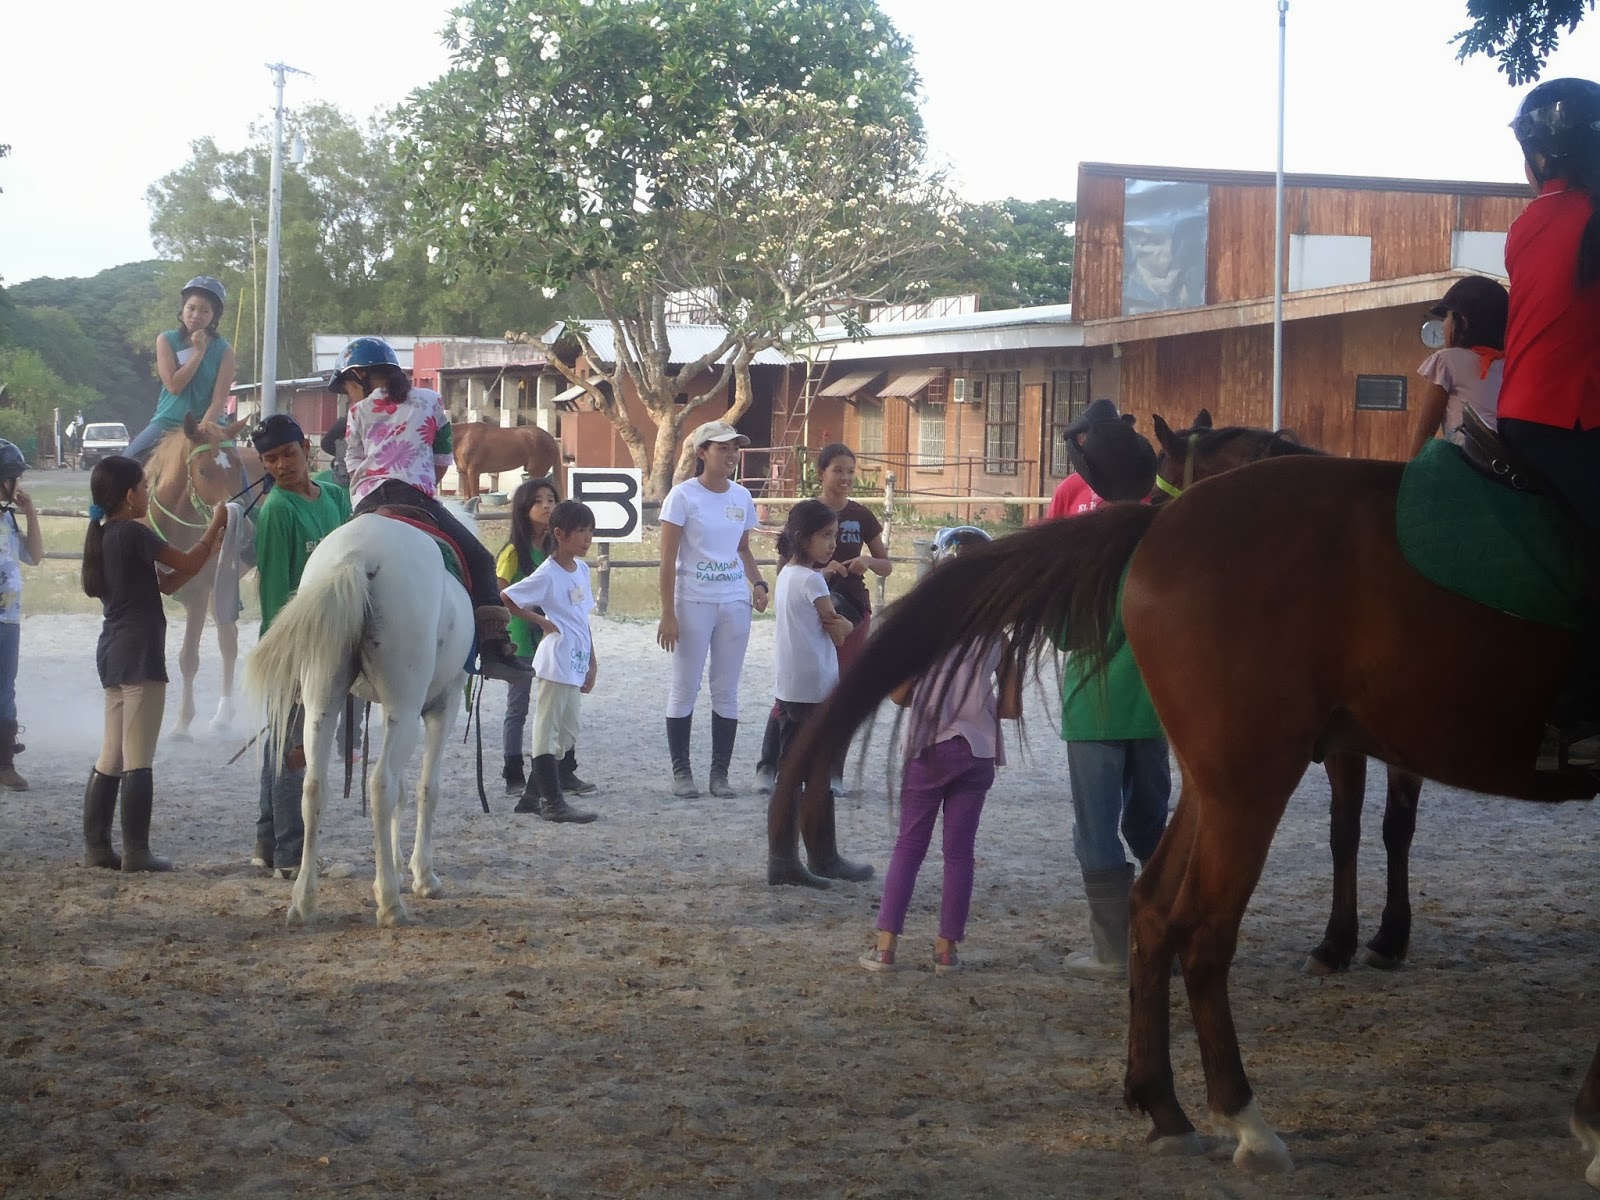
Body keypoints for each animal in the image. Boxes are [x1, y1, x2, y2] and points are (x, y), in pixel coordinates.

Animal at [144, 413, 255, 739]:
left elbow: (189, 658)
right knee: (229, 641)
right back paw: (223, 715)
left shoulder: (198, 596)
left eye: (238, 467)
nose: (246, 531)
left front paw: (182, 723)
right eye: (203, 470)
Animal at [243, 510, 473, 928]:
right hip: (404, 707)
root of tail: (358, 556)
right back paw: (390, 904)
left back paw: (303, 901)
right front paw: (422, 876)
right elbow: (426, 789)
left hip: (322, 699)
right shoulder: (441, 706)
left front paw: (396, 864)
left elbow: (404, 789)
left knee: (314, 788)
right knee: (381, 785)